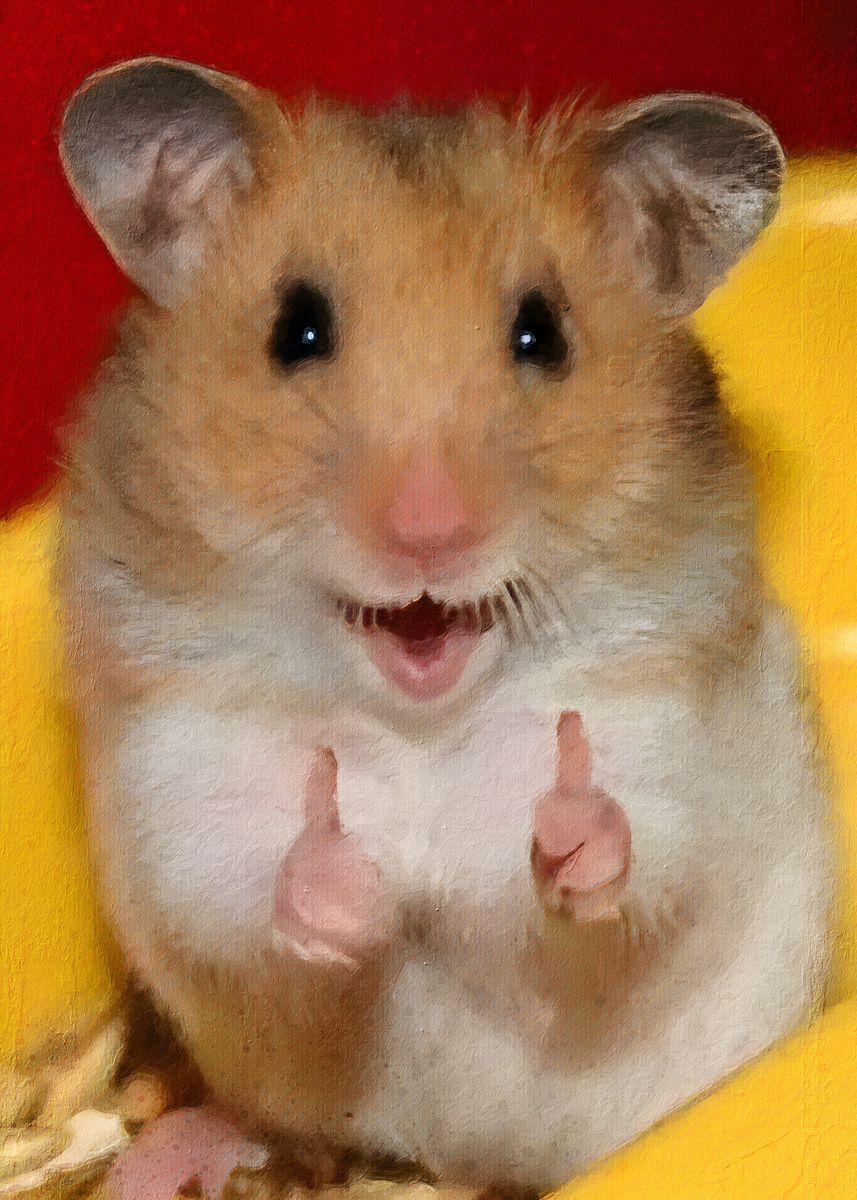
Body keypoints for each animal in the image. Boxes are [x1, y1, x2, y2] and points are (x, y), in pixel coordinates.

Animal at [55, 57, 833, 1198]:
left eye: (541, 333)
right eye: (295, 329)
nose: (428, 535)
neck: (418, 718)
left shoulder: (671, 731)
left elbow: (641, 854)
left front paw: (564, 824)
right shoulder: (180, 763)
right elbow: (240, 882)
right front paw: (355, 884)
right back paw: (163, 1159)